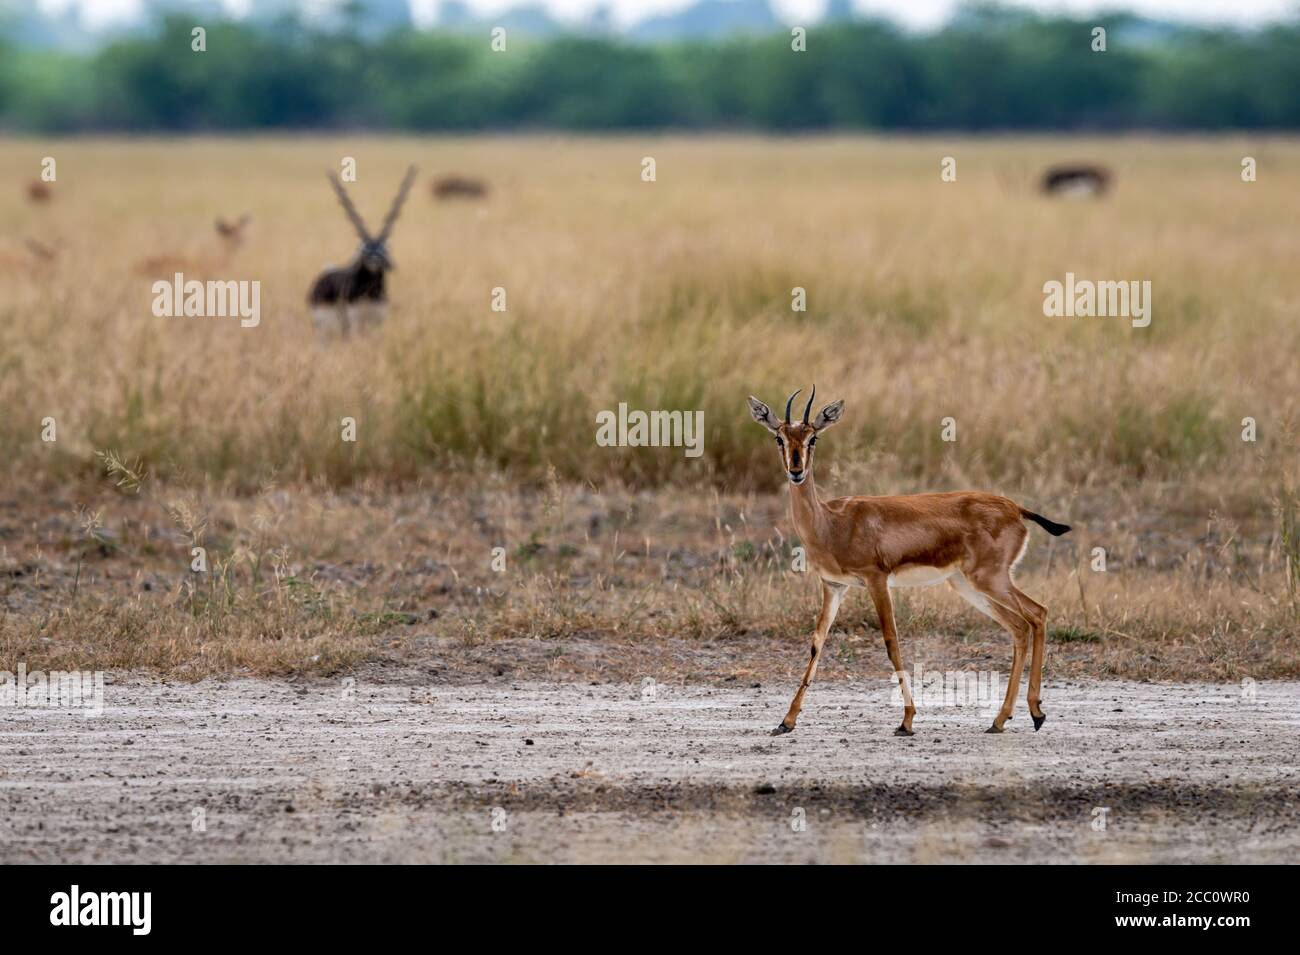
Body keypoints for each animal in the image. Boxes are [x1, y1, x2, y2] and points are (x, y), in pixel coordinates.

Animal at [309, 166, 417, 339]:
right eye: (365, 249)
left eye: (384, 249)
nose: (376, 258)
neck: (370, 293)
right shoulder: (354, 322)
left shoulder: (378, 321)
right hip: (325, 330)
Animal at [748, 388, 1072, 737]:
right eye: (779, 437)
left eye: (813, 438)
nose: (796, 471)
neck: (830, 523)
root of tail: (1015, 509)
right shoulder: (833, 586)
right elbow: (816, 643)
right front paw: (786, 721)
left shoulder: (876, 580)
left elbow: (891, 642)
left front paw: (906, 720)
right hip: (968, 586)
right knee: (1019, 627)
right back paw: (1003, 720)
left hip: (991, 579)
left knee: (1037, 614)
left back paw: (1034, 713)